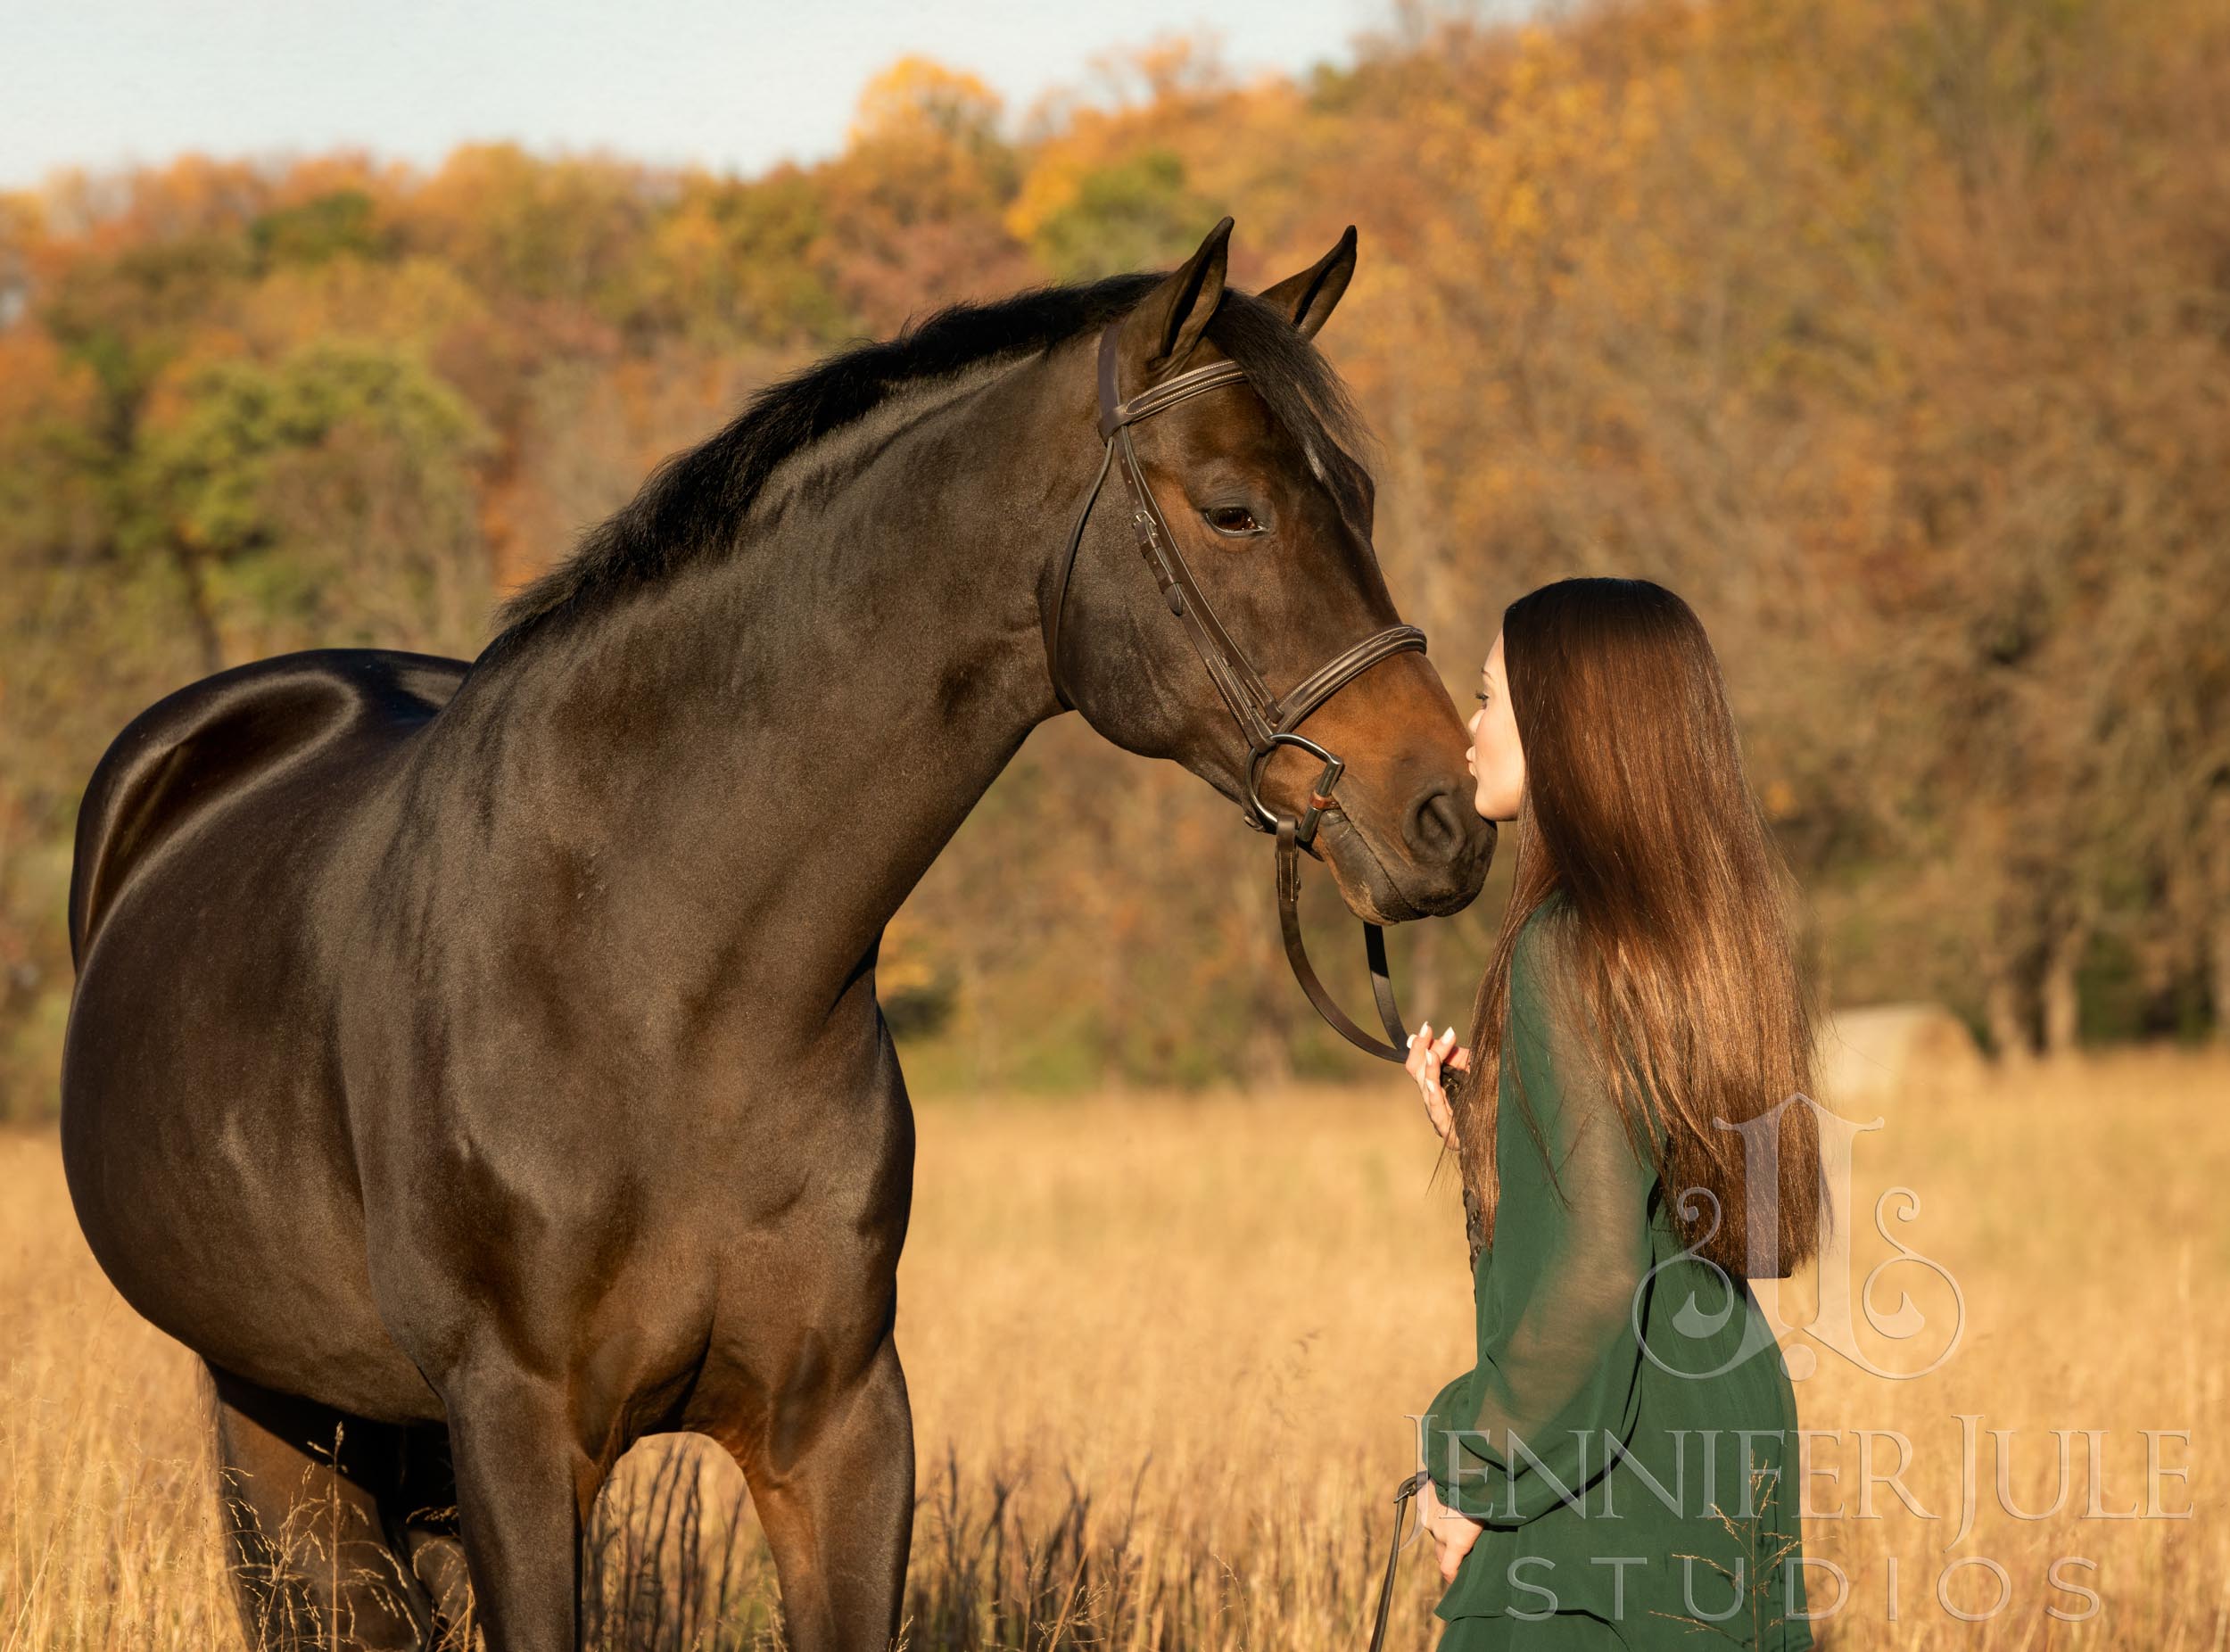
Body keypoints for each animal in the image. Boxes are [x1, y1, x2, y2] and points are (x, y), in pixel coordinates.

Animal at [59, 219, 1493, 1651]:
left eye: (1361, 499)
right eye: (1233, 507)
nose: (1450, 815)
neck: (653, 976)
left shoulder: (842, 1430)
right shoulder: (515, 1433)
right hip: (279, 1412)